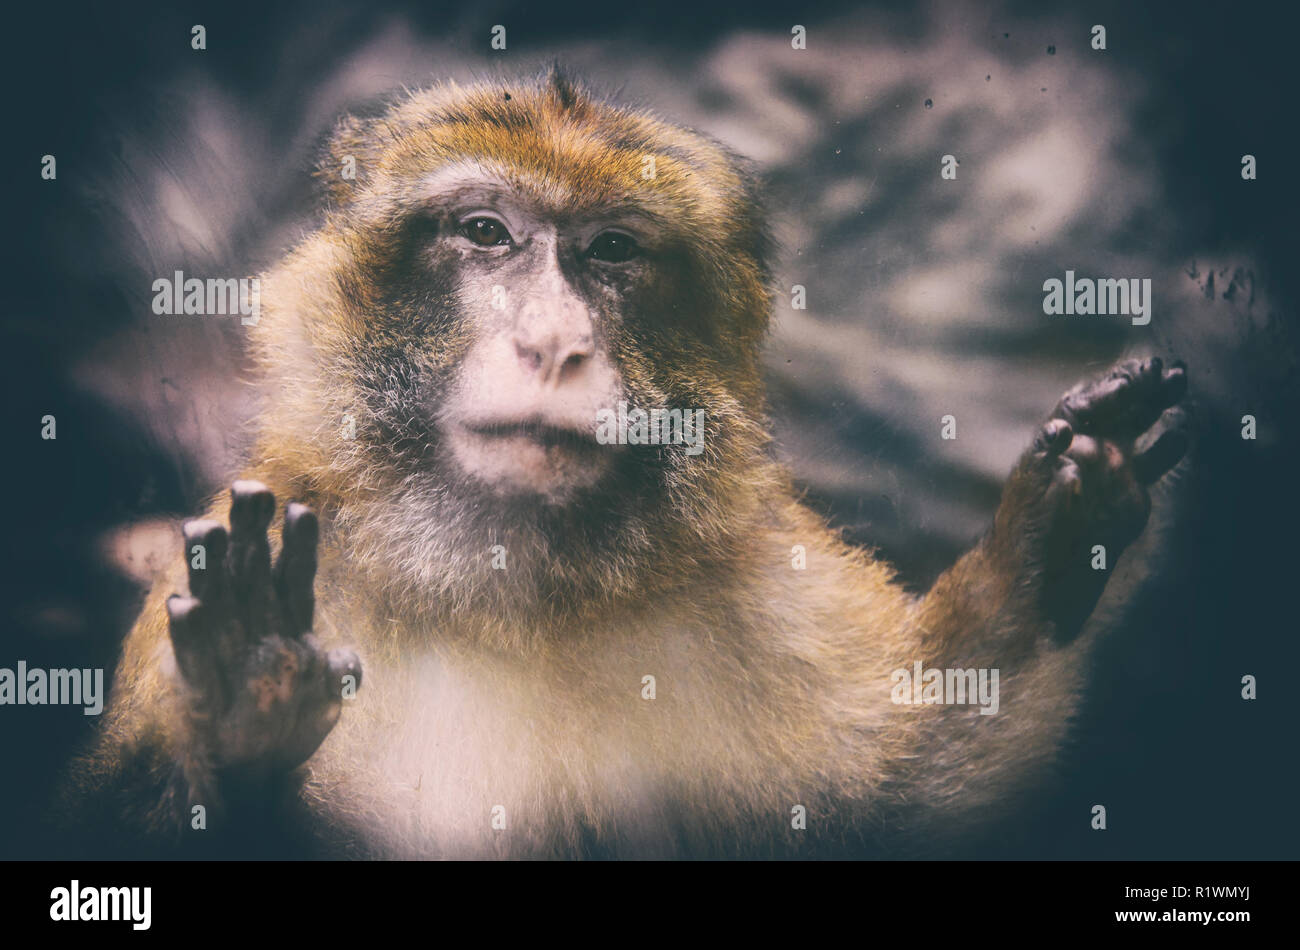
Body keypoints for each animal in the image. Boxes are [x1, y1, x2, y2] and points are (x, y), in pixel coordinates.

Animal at [57, 68, 1188, 859]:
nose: (555, 341)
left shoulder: (759, 578)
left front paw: (1052, 552)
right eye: (485, 232)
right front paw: (244, 709)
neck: (508, 587)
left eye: (610, 251)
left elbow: (896, 799)